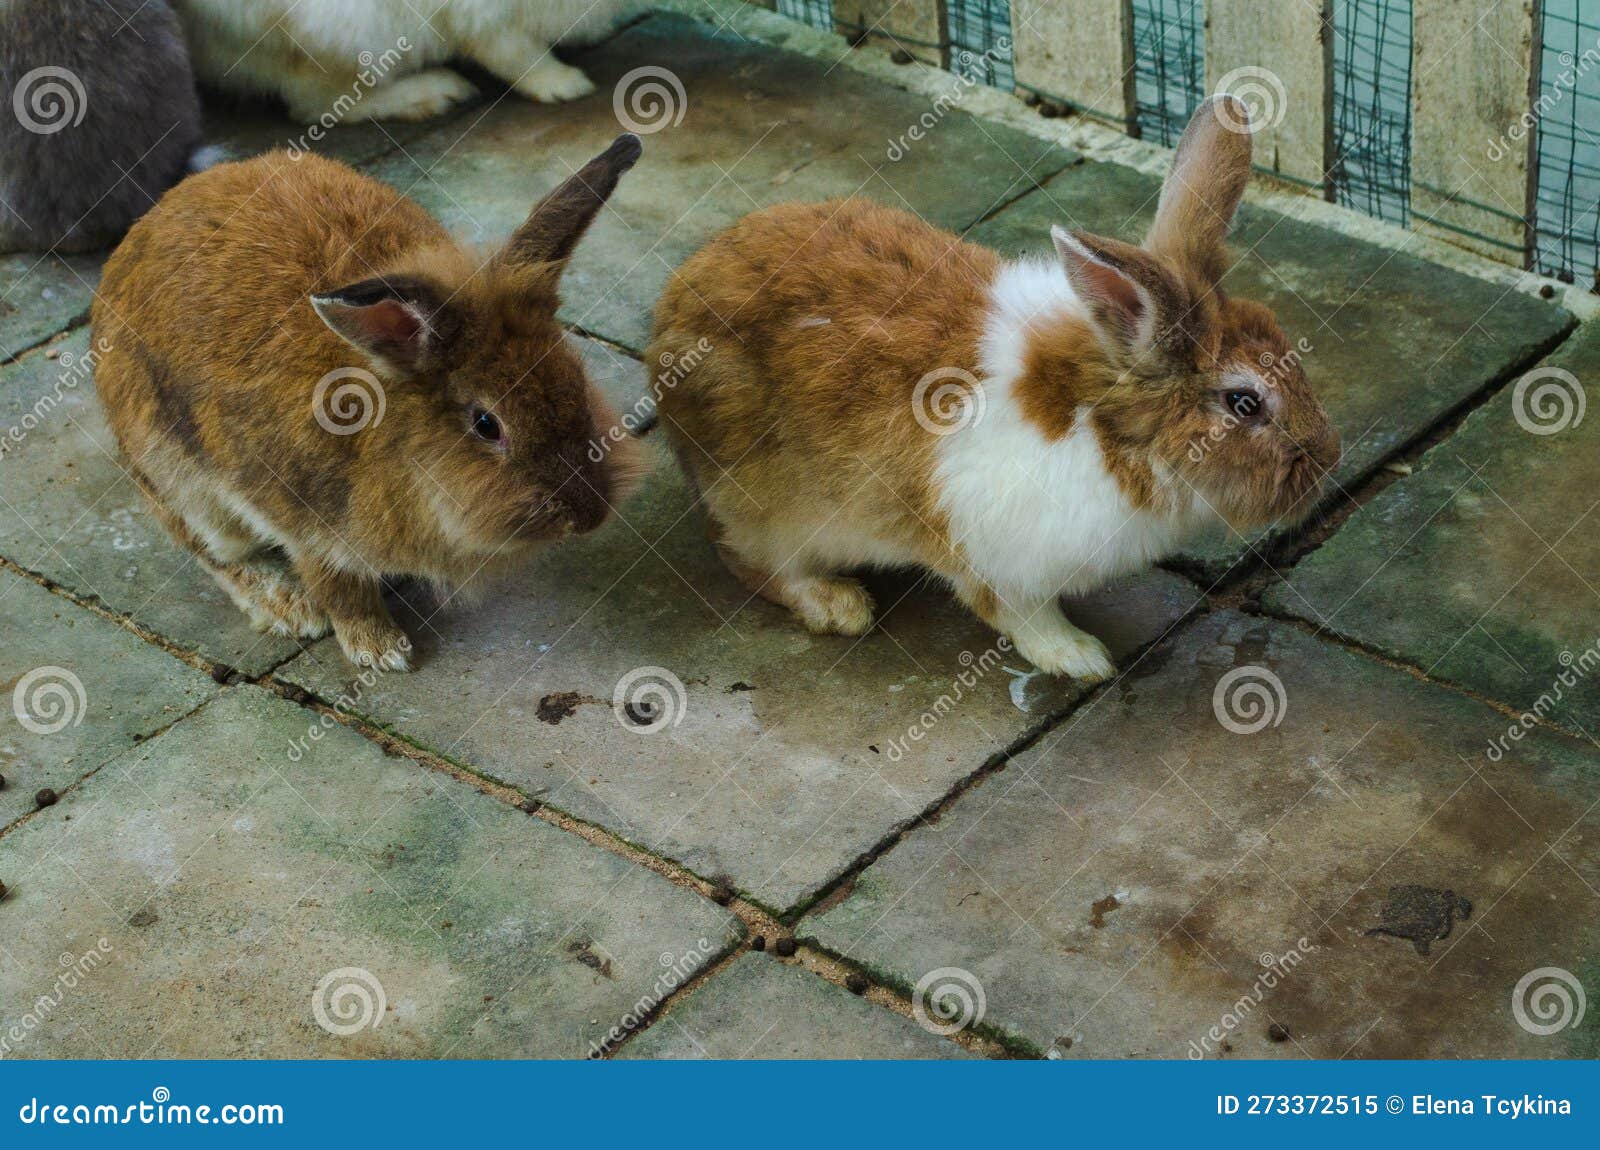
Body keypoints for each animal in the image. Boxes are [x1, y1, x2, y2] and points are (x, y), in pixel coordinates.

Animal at [91, 133, 647, 671]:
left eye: (575, 378)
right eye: (487, 424)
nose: (589, 515)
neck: (391, 431)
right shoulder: (307, 523)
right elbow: (338, 587)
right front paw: (381, 652)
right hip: (179, 479)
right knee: (212, 550)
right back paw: (287, 607)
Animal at [650, 97, 1340, 682]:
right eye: (1244, 402)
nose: (1329, 459)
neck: (1105, 427)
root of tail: (668, 316)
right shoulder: (995, 558)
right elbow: (1020, 615)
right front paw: (1080, 657)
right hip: (772, 507)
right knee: (751, 558)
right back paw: (838, 605)